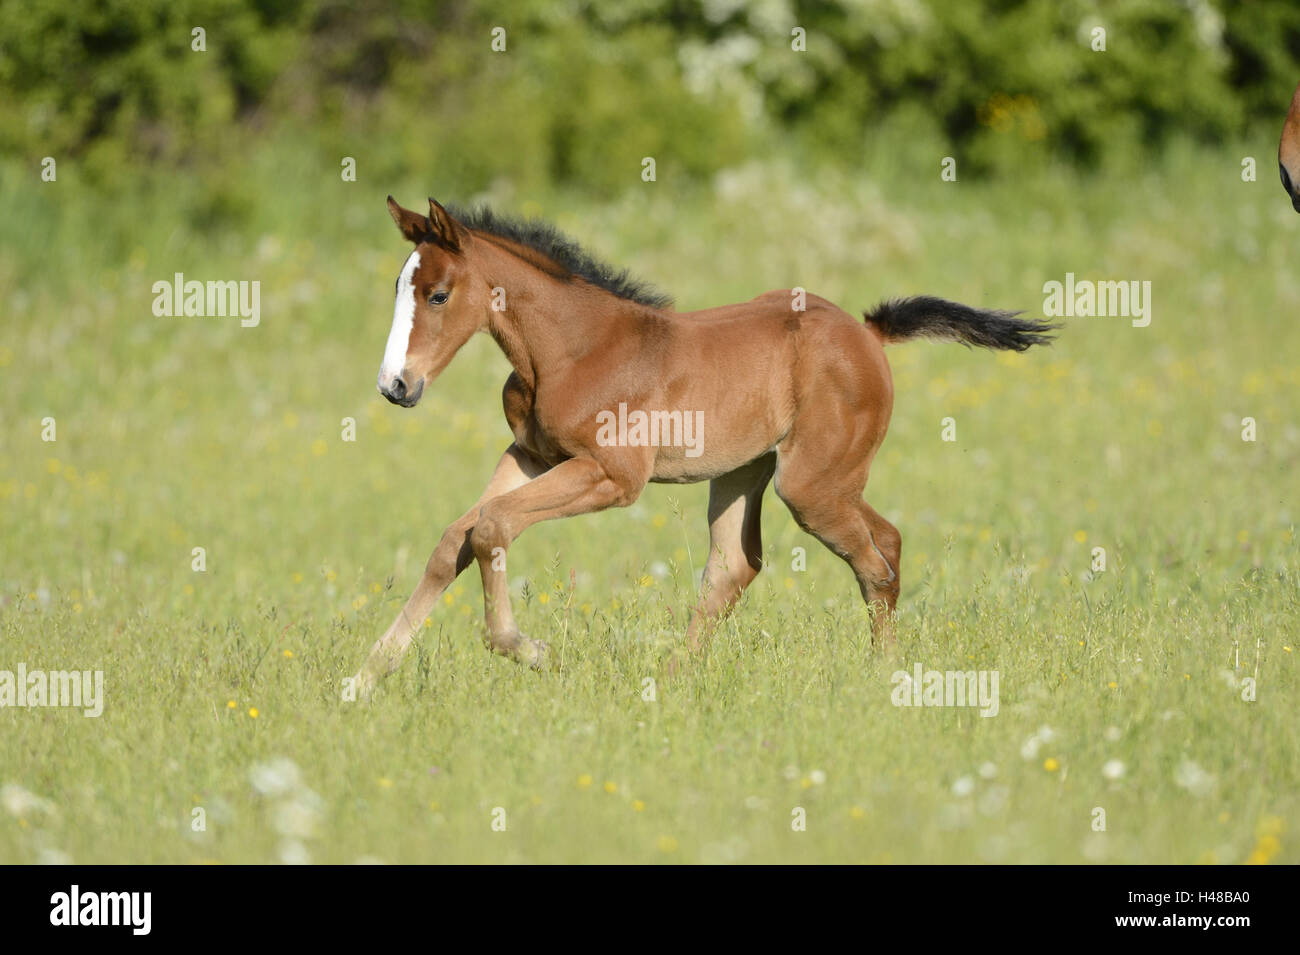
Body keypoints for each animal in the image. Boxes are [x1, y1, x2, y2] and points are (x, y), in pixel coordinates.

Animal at [350, 197, 1055, 696]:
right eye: (398, 289)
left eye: (438, 294)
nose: (395, 386)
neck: (568, 350)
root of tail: (867, 333)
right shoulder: (529, 456)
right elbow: (457, 539)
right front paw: (364, 677)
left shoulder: (612, 476)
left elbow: (492, 527)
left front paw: (530, 650)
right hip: (752, 472)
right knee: (754, 562)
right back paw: (674, 677)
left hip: (812, 484)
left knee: (873, 562)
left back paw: (884, 677)